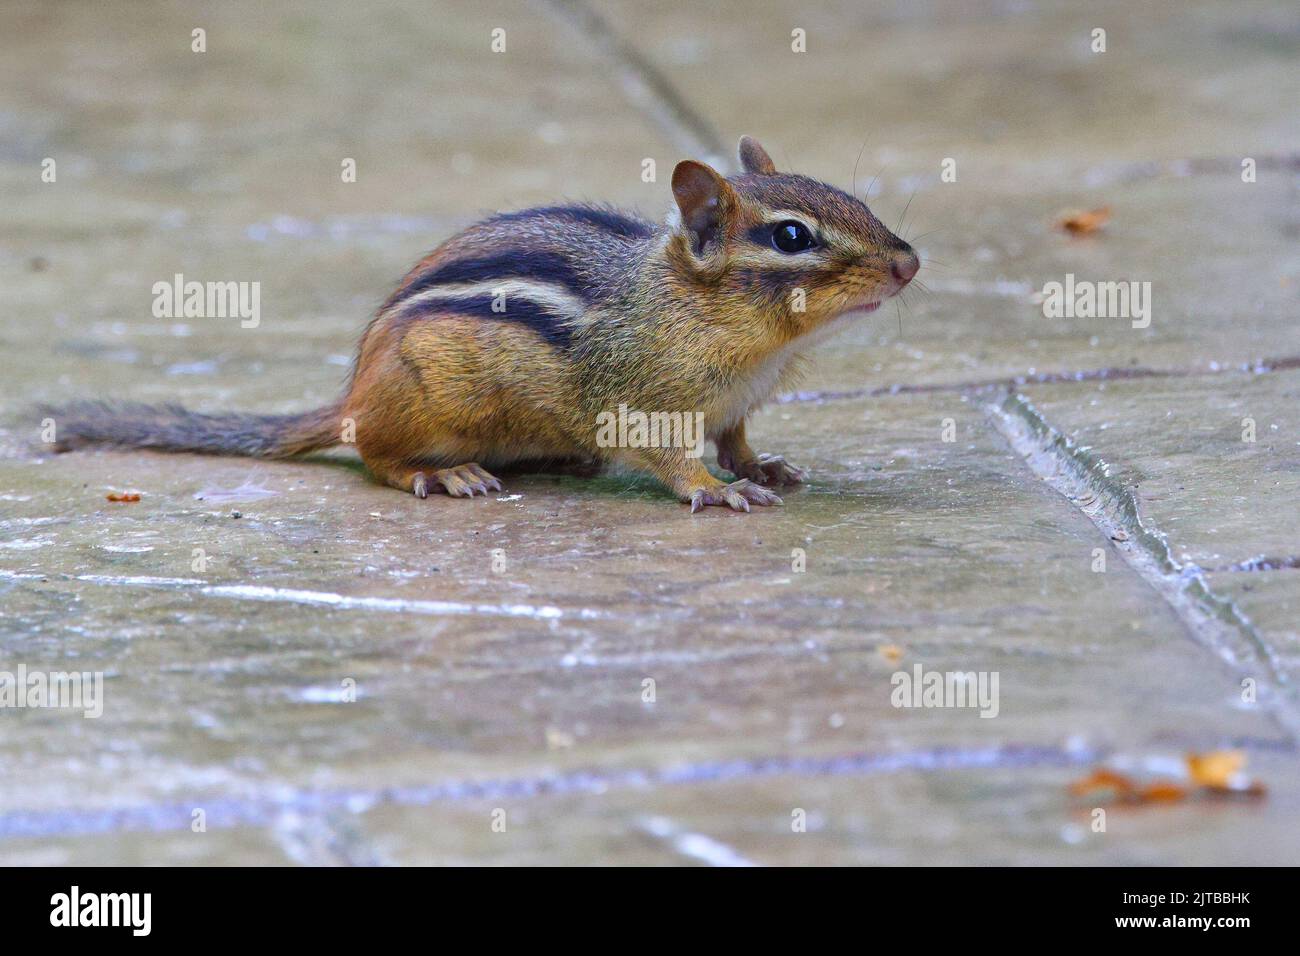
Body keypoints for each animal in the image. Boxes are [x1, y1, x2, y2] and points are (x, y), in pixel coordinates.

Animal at [42, 137, 918, 513]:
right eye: (792, 237)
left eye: (852, 198)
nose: (910, 262)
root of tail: (351, 393)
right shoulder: (640, 397)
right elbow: (673, 459)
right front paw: (714, 490)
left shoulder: (735, 405)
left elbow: (736, 439)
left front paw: (761, 468)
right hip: (426, 404)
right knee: (374, 457)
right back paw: (442, 475)